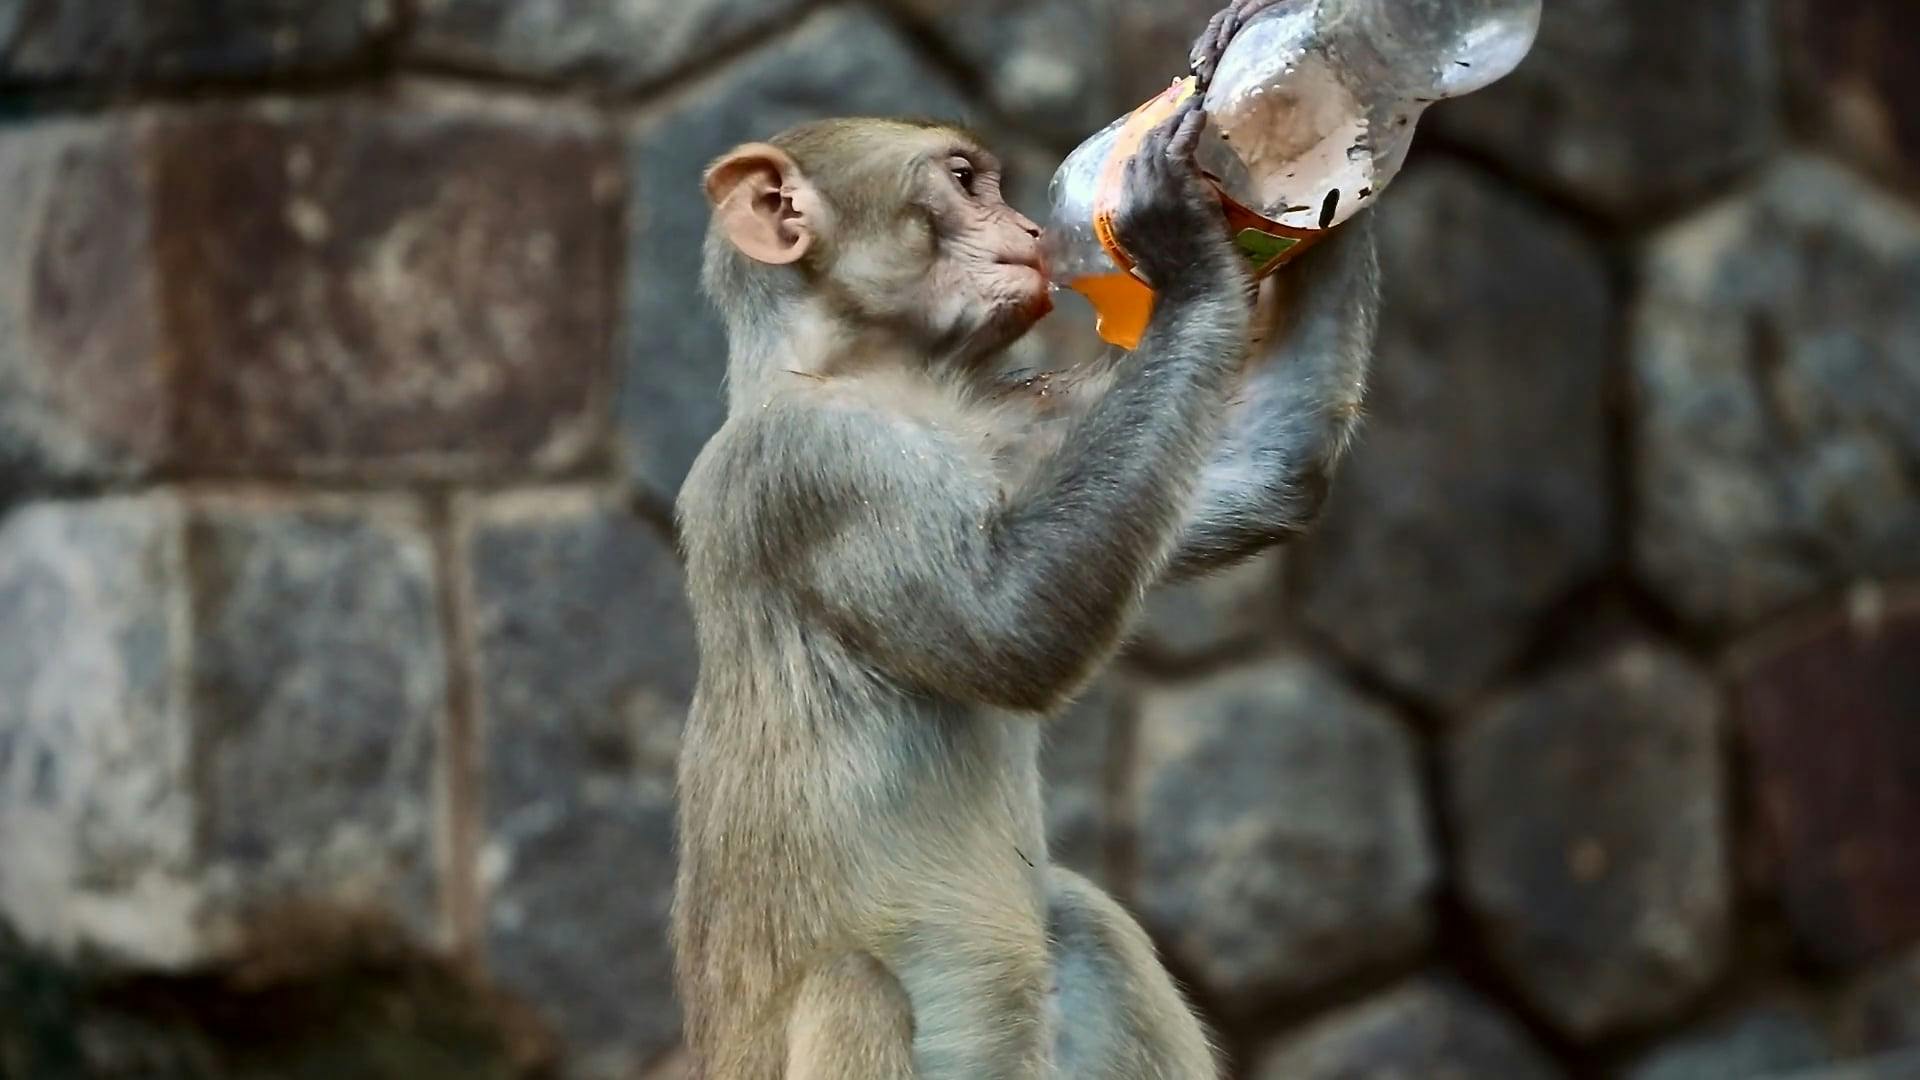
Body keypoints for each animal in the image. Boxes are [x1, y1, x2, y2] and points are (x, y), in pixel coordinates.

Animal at [669, 24, 1378, 1079]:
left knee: (1086, 925)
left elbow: (1262, 466)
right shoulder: (810, 467)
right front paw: (1182, 230)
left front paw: (1336, 143)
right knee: (854, 987)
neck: (876, 381)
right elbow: (1016, 631)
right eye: (965, 181)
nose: (1029, 230)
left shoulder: (1010, 423)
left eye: (992, 187)